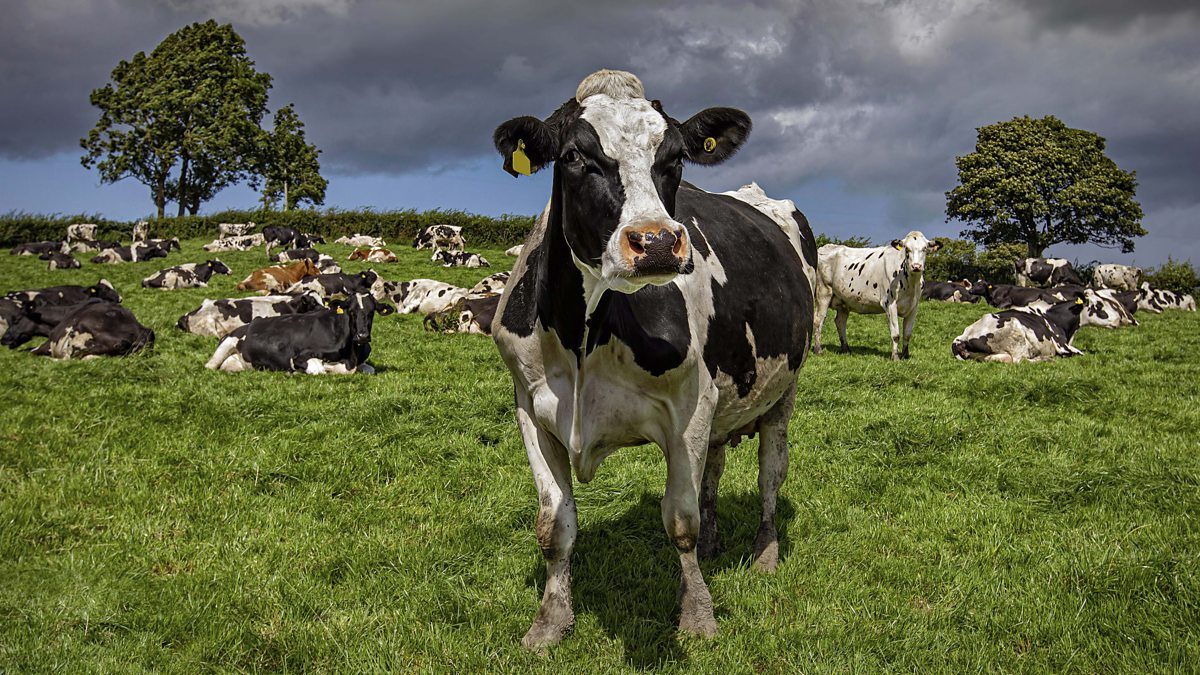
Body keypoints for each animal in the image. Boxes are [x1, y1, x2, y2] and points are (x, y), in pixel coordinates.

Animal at [205, 292, 393, 374]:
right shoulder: (299, 357)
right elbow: (319, 370)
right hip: (226, 345)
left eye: (372, 312)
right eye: (351, 311)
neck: (351, 355)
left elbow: (370, 370)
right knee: (209, 366)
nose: (362, 336)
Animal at [491, 69, 816, 648]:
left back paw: (765, 552)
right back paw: (714, 544)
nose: (658, 242)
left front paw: (698, 615)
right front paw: (549, 622)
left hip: (784, 392)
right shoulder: (531, 407)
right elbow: (554, 526)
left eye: (675, 158)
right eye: (574, 156)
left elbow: (679, 521)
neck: (584, 335)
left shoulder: (689, 405)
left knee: (770, 475)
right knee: (714, 468)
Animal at [812, 231, 941, 360]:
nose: (916, 266)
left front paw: (905, 356)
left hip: (844, 300)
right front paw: (895, 357)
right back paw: (818, 350)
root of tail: (825, 247)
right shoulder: (890, 304)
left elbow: (907, 334)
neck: (910, 284)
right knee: (819, 320)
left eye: (925, 249)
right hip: (823, 292)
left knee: (840, 322)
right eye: (907, 249)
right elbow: (896, 334)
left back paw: (846, 349)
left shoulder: (914, 306)